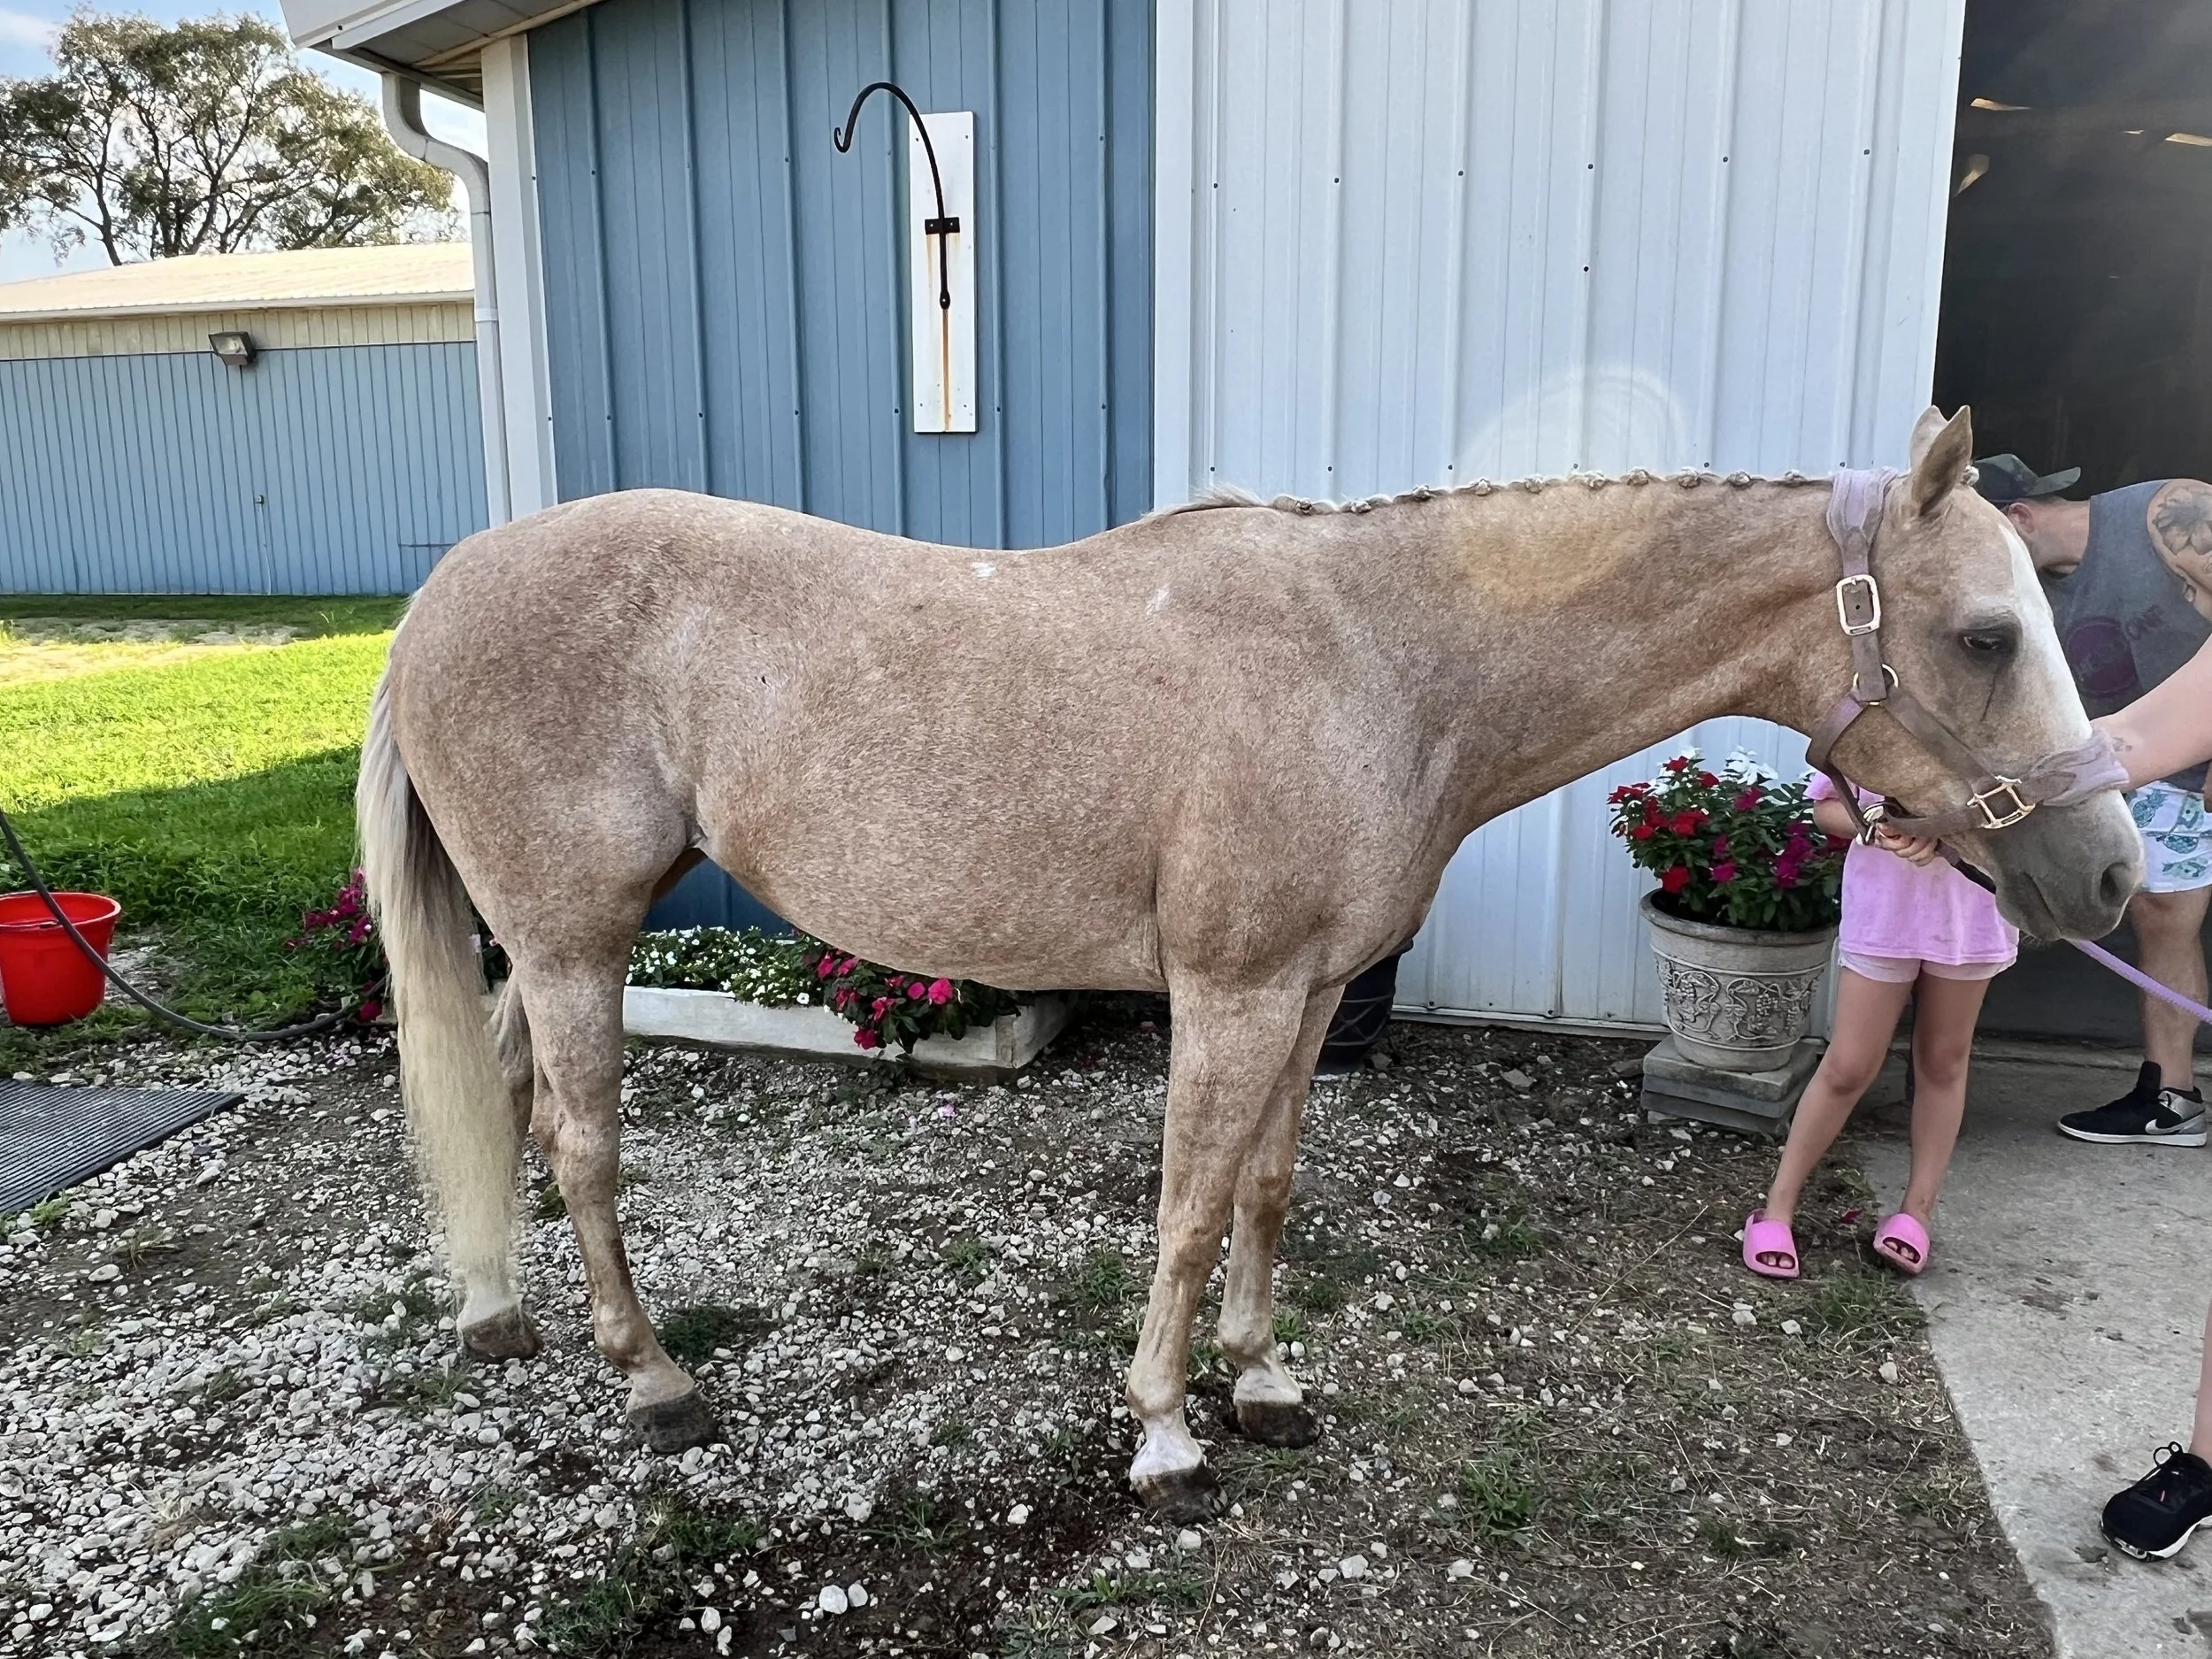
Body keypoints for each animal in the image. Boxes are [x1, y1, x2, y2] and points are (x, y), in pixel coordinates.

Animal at [357, 405, 2139, 1521]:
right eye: (1987, 634)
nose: (2111, 874)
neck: (1382, 659)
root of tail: (438, 594)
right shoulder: (1228, 992)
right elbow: (1191, 1202)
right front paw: (1161, 1434)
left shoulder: (1307, 994)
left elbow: (1268, 1192)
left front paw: (1263, 1381)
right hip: (578, 939)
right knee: (583, 1141)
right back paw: (653, 1380)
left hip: (559, 937)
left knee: (505, 1095)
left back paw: (498, 1315)